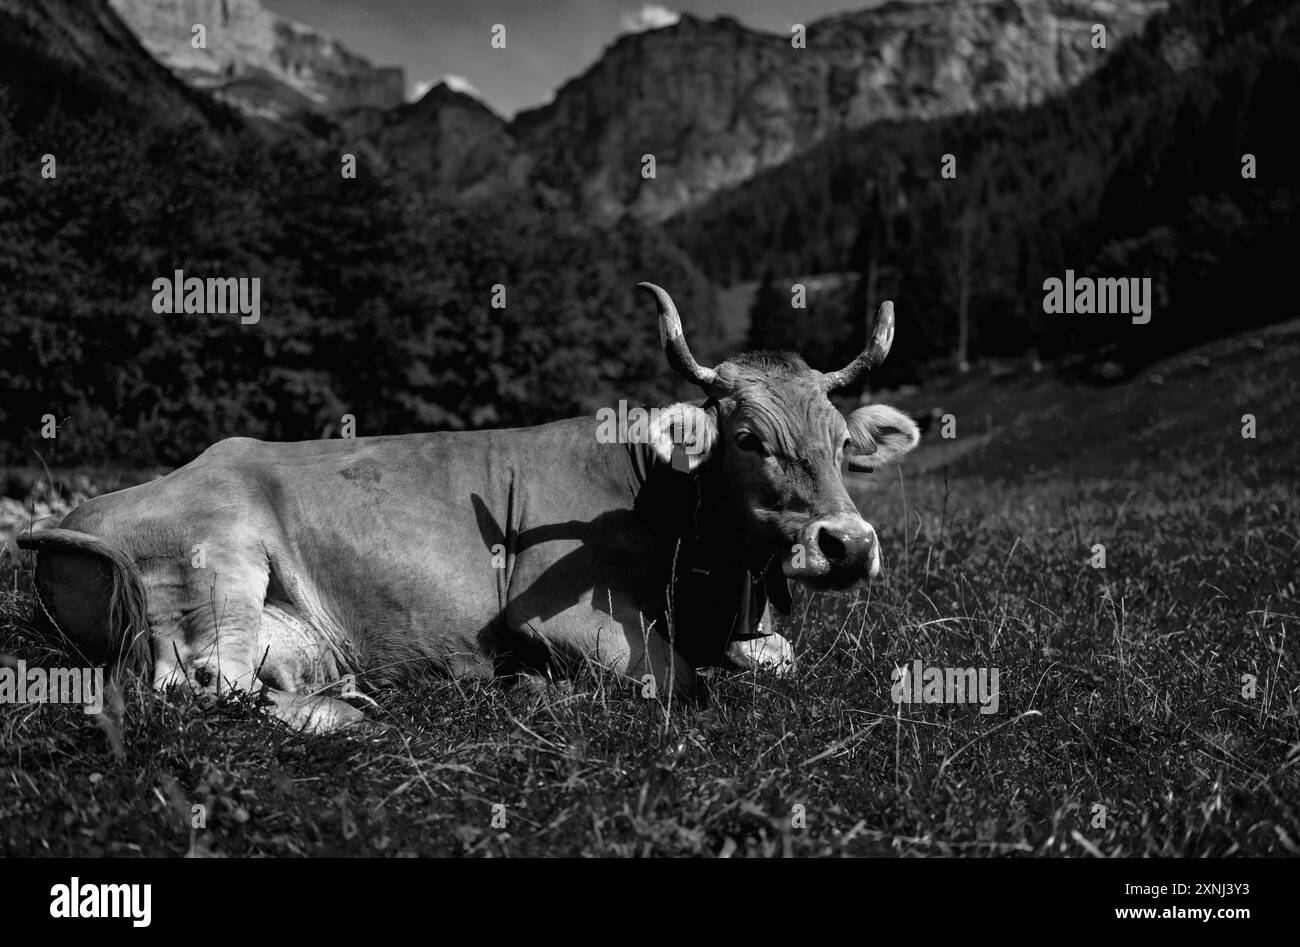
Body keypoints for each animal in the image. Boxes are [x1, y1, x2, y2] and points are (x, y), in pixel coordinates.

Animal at [19, 284, 920, 732]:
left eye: (842, 441)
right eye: (746, 438)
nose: (847, 543)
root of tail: (80, 513)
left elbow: (775, 658)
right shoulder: (555, 610)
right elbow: (678, 681)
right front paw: (535, 689)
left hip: (290, 629)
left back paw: (345, 700)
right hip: (211, 567)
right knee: (201, 684)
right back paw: (346, 719)